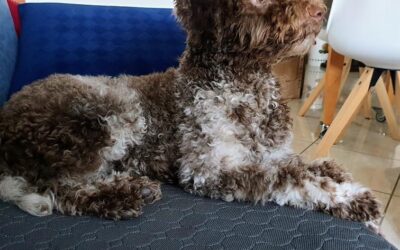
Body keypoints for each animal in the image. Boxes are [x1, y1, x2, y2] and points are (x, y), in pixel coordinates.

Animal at [0, 0, 382, 231]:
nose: (320, 11)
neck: (246, 86)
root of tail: (6, 121)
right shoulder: (207, 170)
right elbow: (290, 178)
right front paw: (351, 196)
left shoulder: (271, 150)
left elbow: (299, 163)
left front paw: (331, 169)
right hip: (105, 116)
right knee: (58, 189)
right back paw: (121, 194)